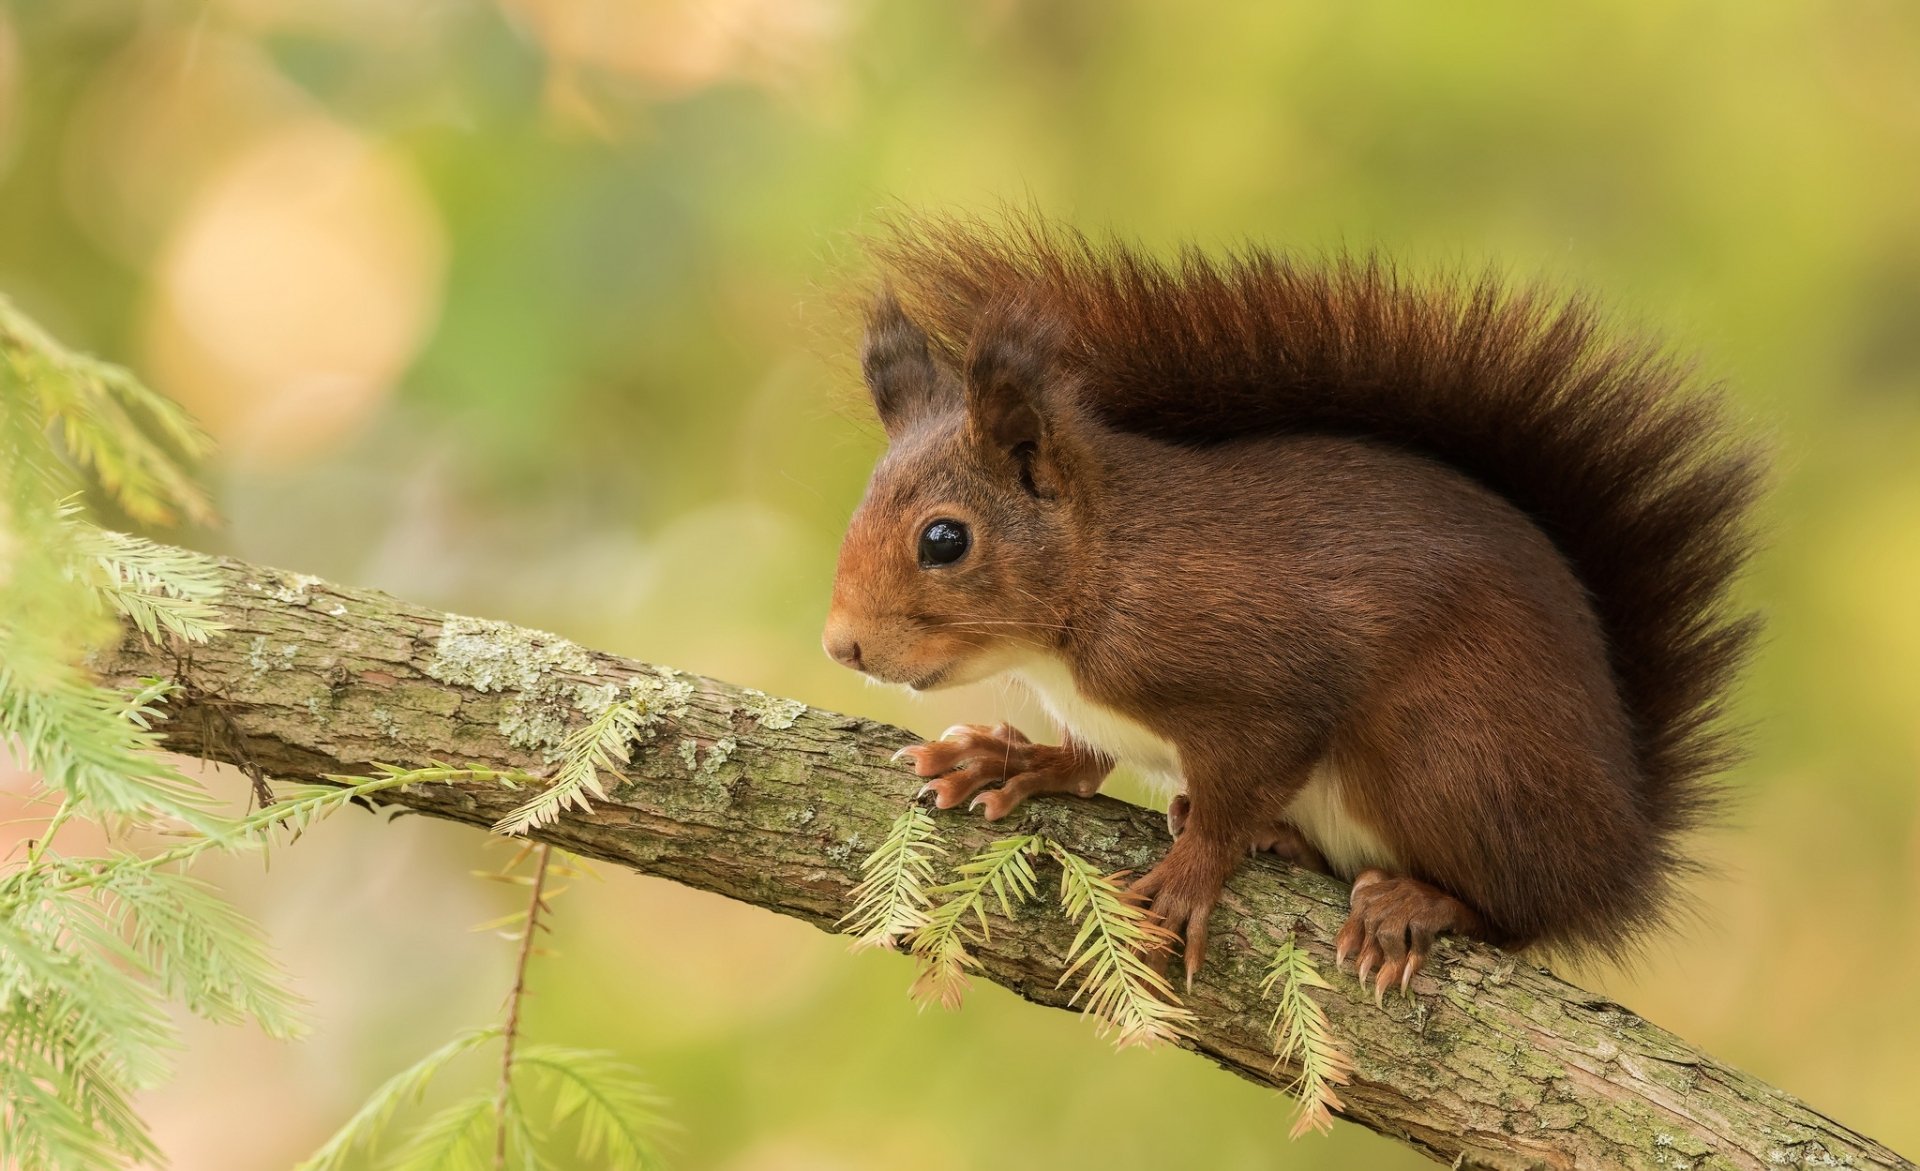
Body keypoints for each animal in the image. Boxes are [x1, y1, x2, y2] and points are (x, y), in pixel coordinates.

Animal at [821, 214, 1763, 995]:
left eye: (946, 539)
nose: (841, 647)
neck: (1095, 576)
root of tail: (1620, 845)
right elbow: (1087, 758)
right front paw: (1006, 758)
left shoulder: (1265, 680)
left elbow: (1242, 782)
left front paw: (1185, 881)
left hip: (1449, 752)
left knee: (1517, 911)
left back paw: (1412, 902)